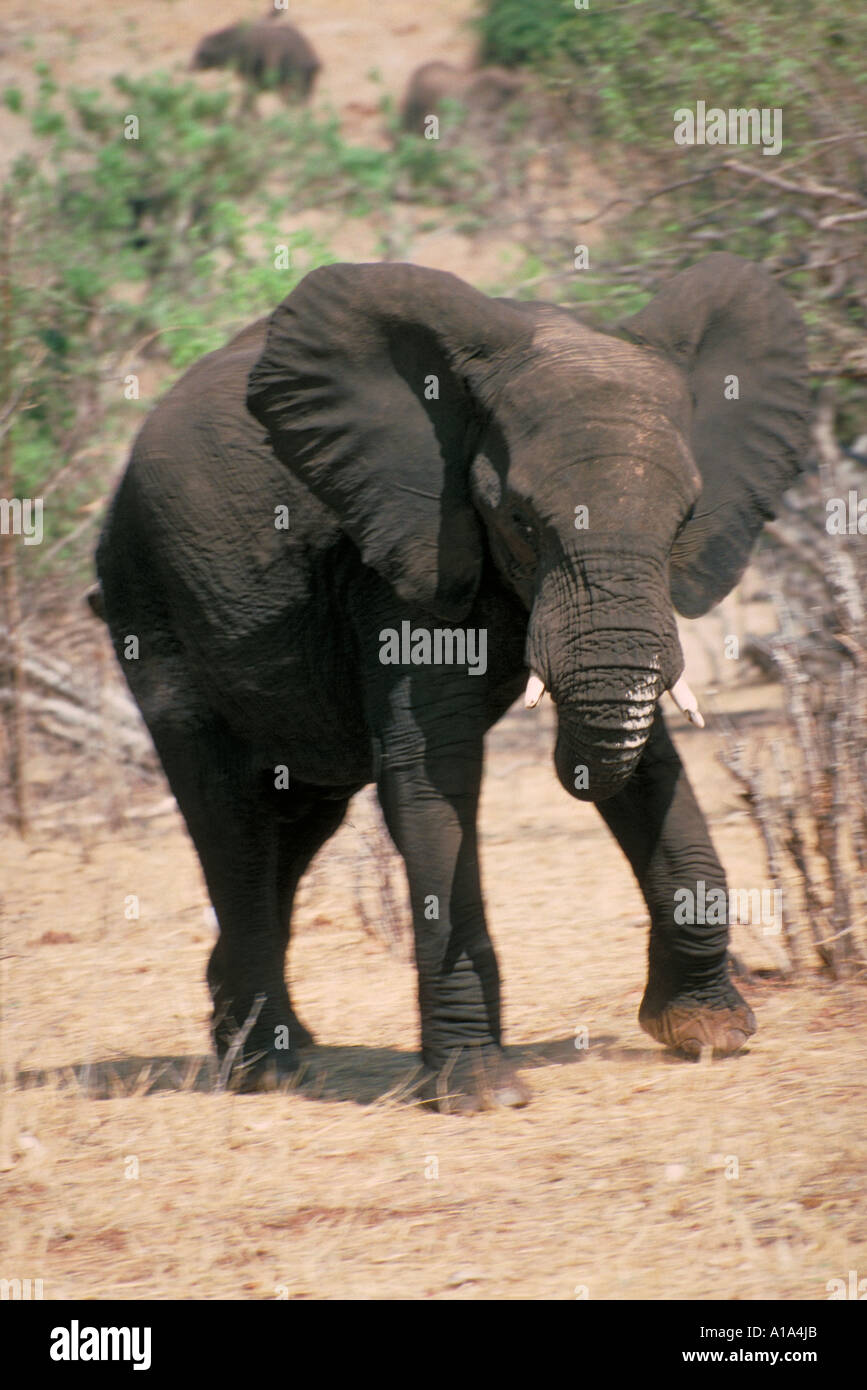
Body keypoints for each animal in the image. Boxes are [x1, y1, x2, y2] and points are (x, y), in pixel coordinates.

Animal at [93, 254, 810, 1112]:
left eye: (684, 519)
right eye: (520, 521)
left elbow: (651, 766)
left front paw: (707, 1035)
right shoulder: (400, 549)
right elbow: (432, 769)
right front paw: (481, 1093)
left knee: (293, 820)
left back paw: (261, 1039)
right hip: (149, 596)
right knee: (229, 820)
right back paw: (264, 1070)